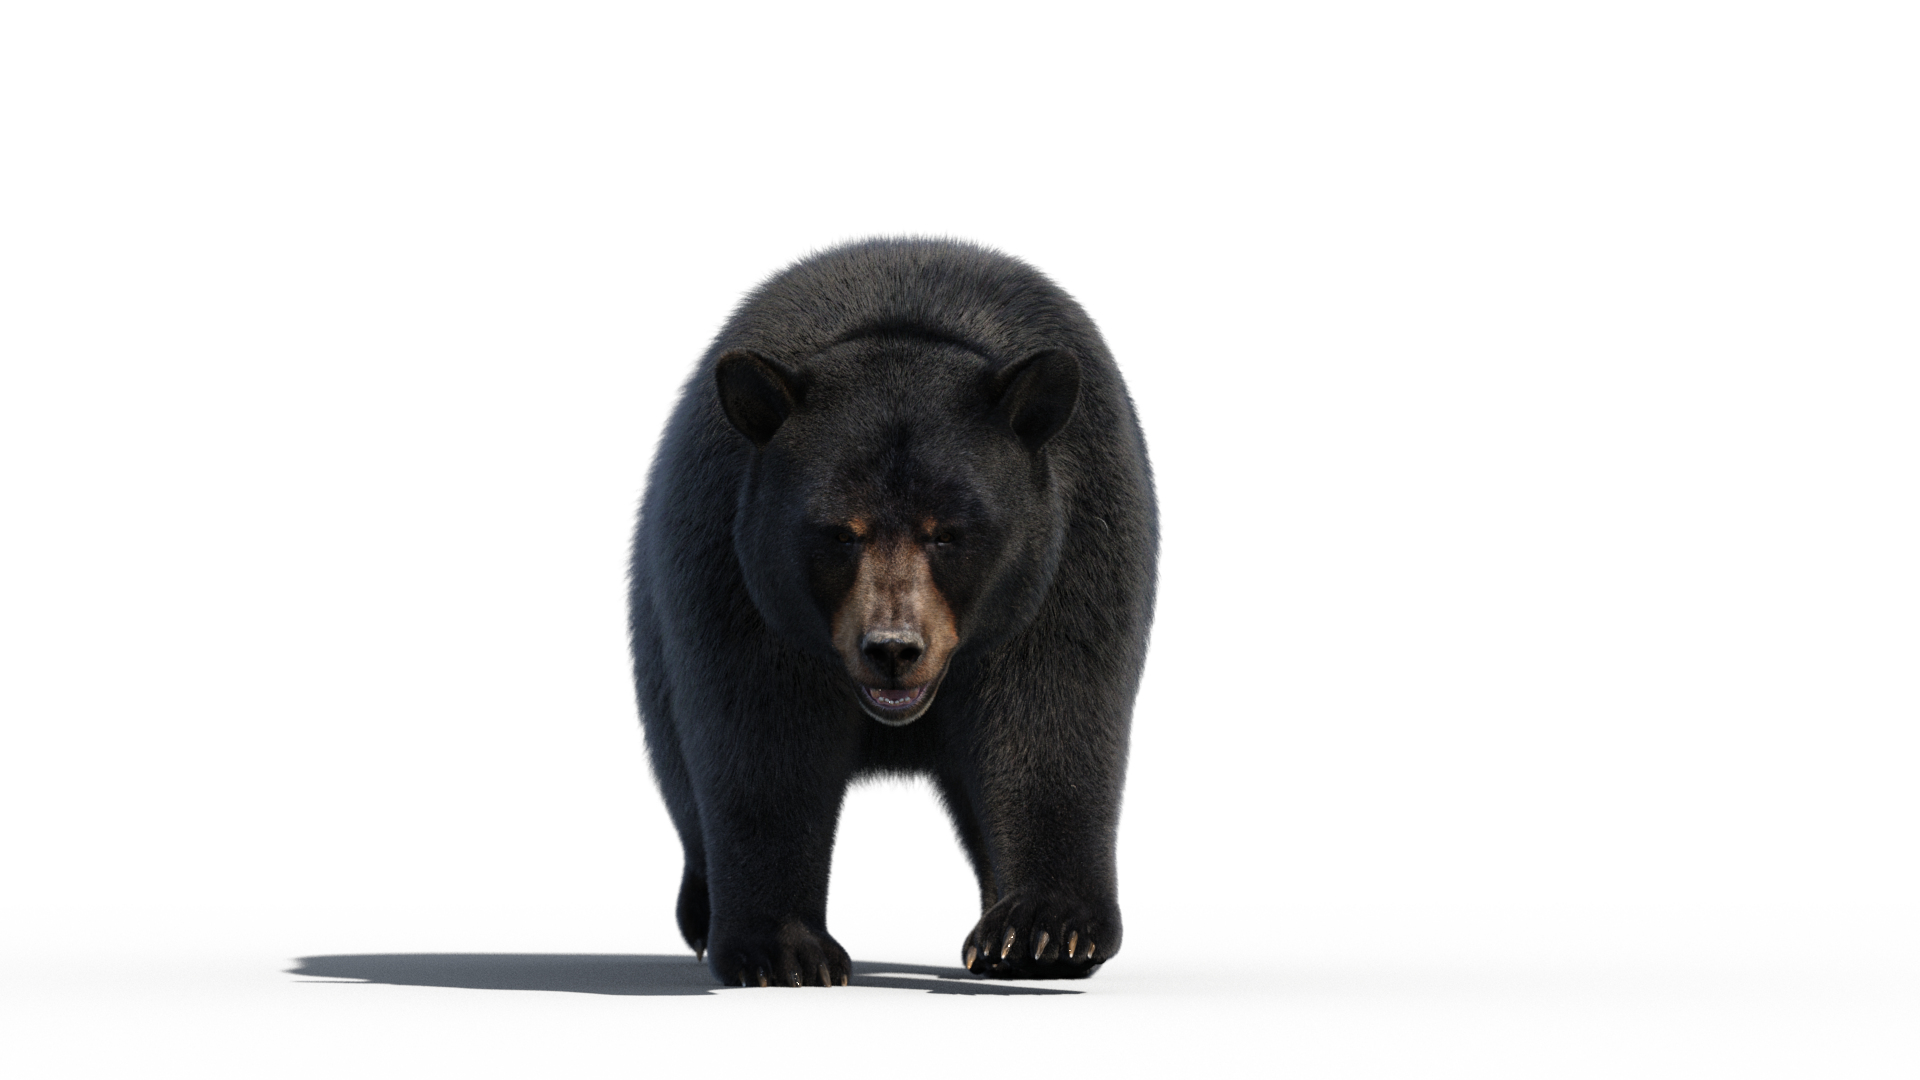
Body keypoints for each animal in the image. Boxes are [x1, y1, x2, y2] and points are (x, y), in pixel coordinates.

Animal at [628, 237, 1157, 986]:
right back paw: (701, 908)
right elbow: (761, 733)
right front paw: (780, 948)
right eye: (839, 532)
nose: (893, 648)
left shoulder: (1071, 550)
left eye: (949, 532)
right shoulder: (737, 576)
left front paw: (1044, 930)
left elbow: (1053, 711)